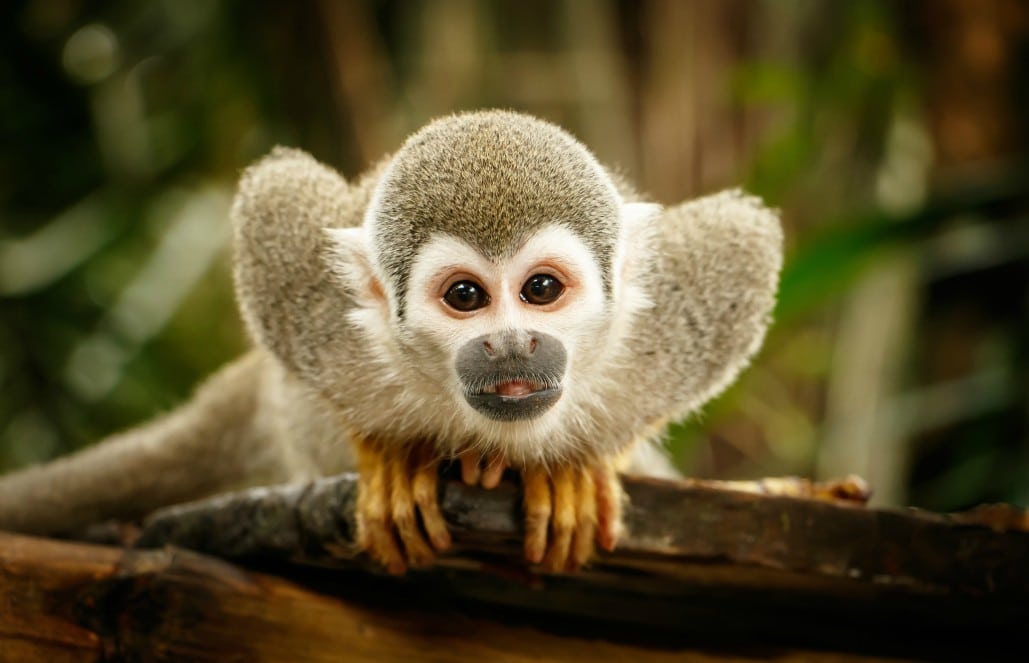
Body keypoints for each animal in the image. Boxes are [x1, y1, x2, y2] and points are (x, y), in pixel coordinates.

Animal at [0, 110, 782, 574]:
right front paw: (388, 455)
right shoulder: (316, 317)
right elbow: (275, 197)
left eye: (540, 290)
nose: (511, 345)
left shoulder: (672, 321)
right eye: (465, 297)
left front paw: (578, 467)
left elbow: (745, 240)